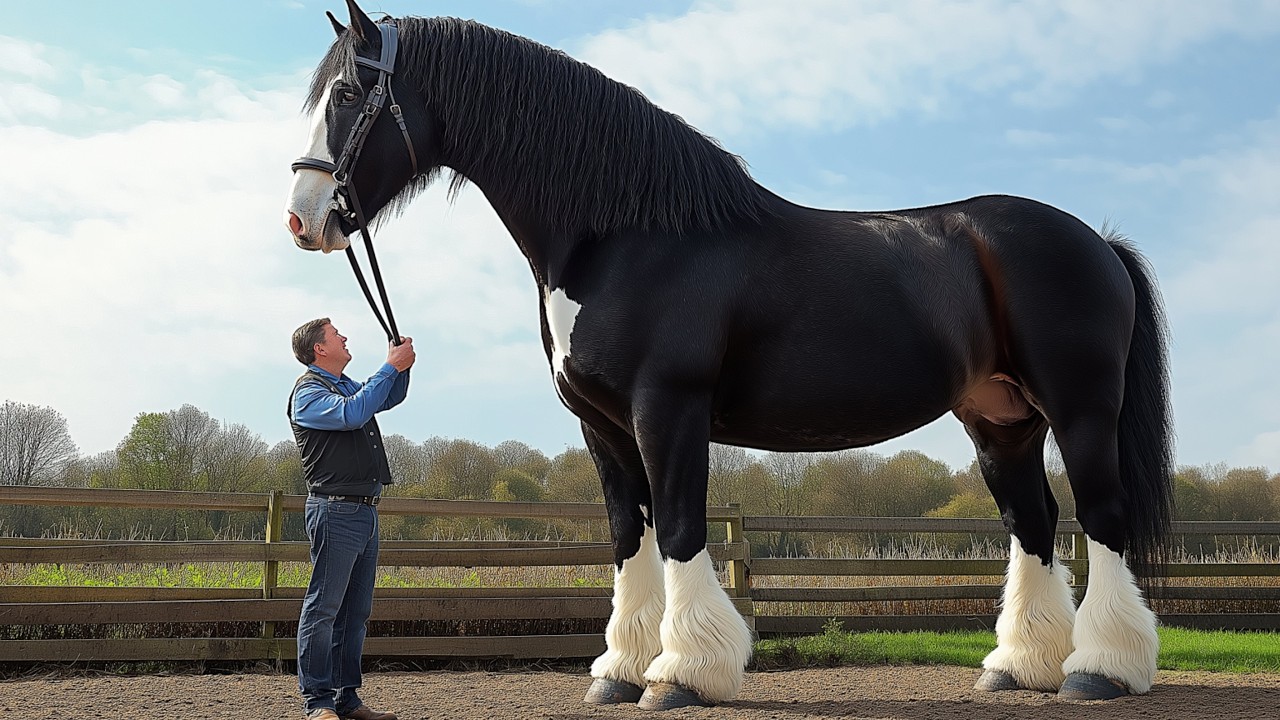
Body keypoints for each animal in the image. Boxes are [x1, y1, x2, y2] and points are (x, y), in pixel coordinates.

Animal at [285, 0, 1174, 709]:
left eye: (349, 95)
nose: (303, 218)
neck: (627, 237)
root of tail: (1096, 241)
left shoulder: (668, 409)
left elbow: (680, 529)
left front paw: (681, 675)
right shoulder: (602, 425)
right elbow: (628, 536)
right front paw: (619, 672)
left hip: (1080, 408)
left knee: (1100, 517)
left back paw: (1099, 669)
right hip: (1001, 421)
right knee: (1034, 523)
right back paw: (1020, 667)